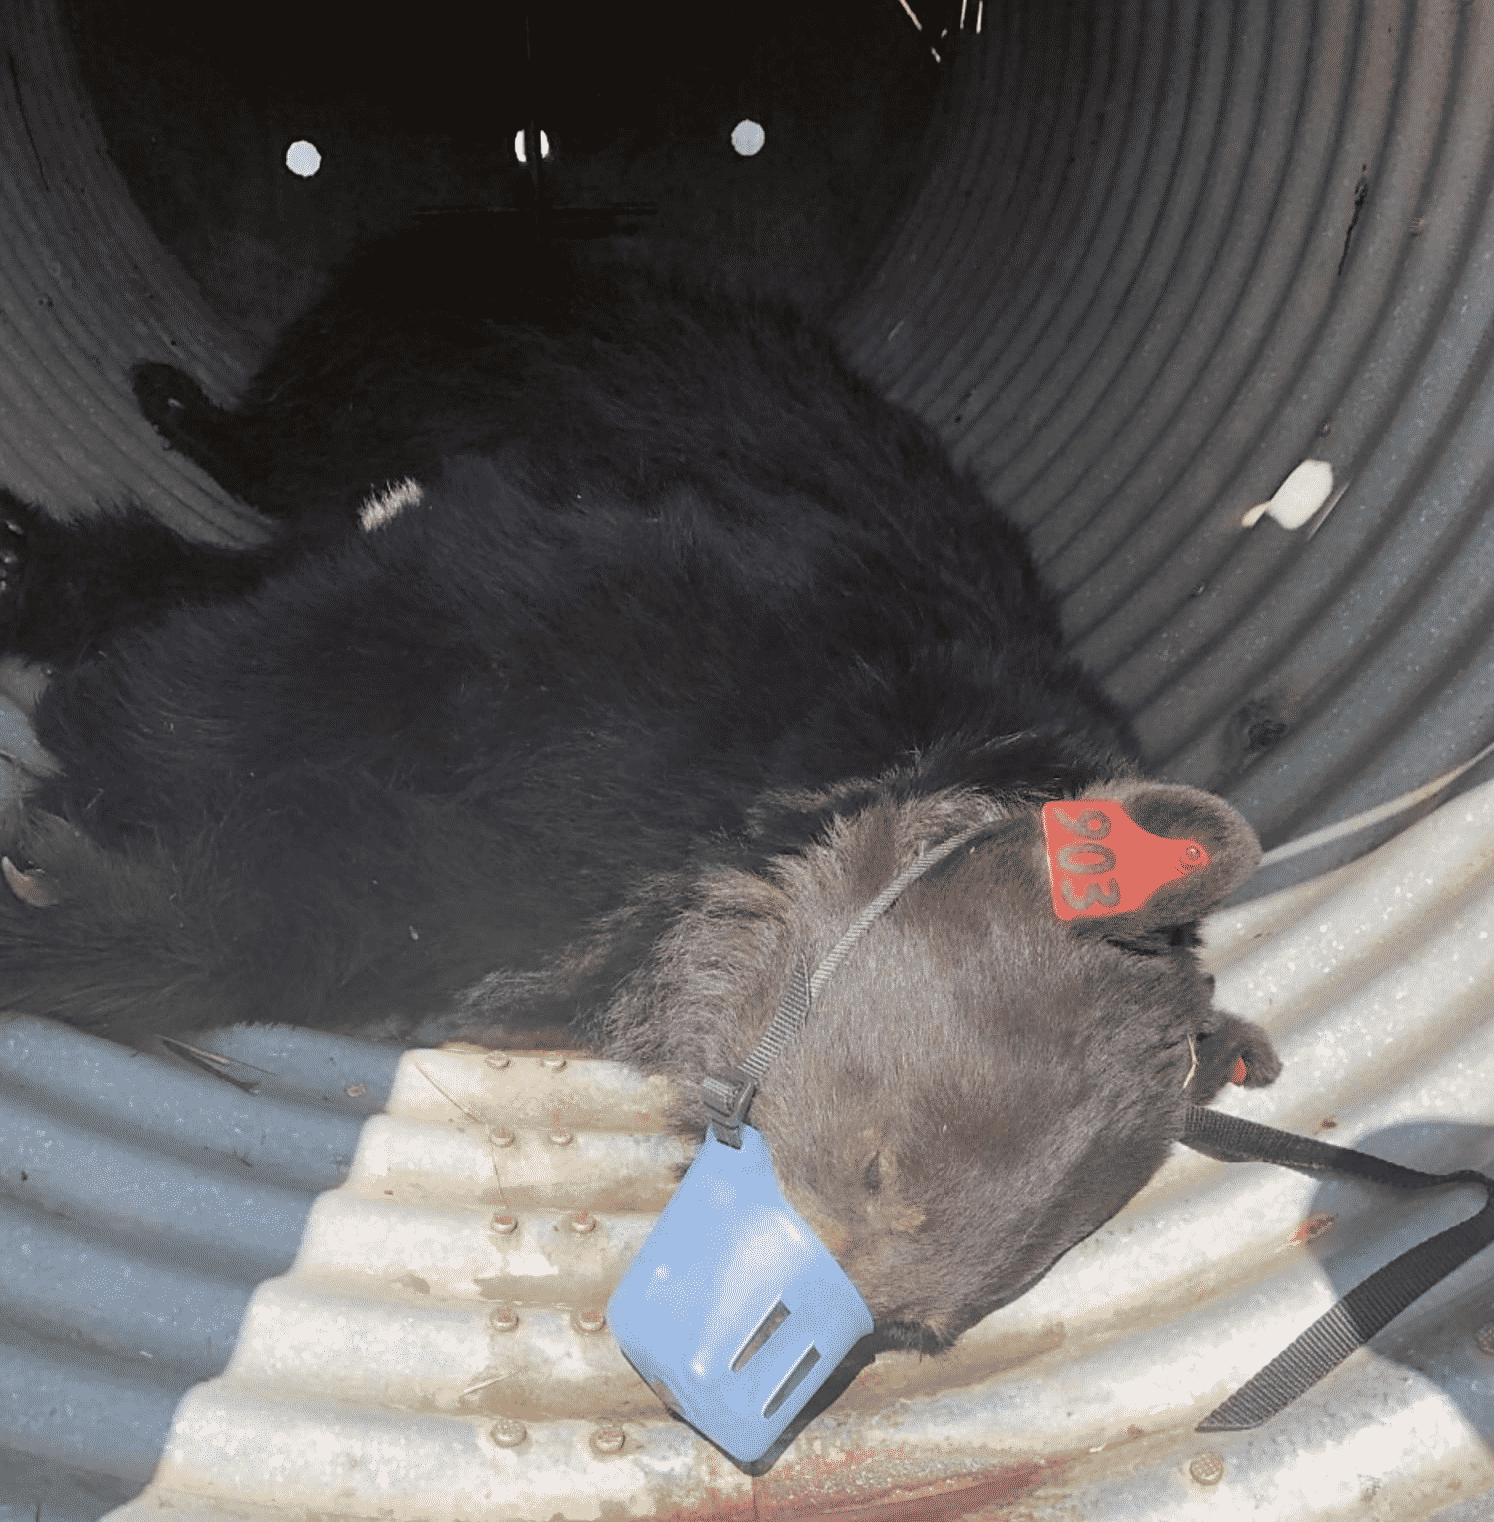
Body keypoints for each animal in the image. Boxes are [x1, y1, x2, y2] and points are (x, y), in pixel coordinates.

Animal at [0, 220, 1278, 1351]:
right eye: (886, 1166)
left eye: (927, 1327)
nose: (787, 1340)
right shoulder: (692, 613)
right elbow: (339, 642)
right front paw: (100, 722)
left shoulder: (558, 897)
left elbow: (335, 905)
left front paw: (75, 882)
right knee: (293, 453)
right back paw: (154, 425)